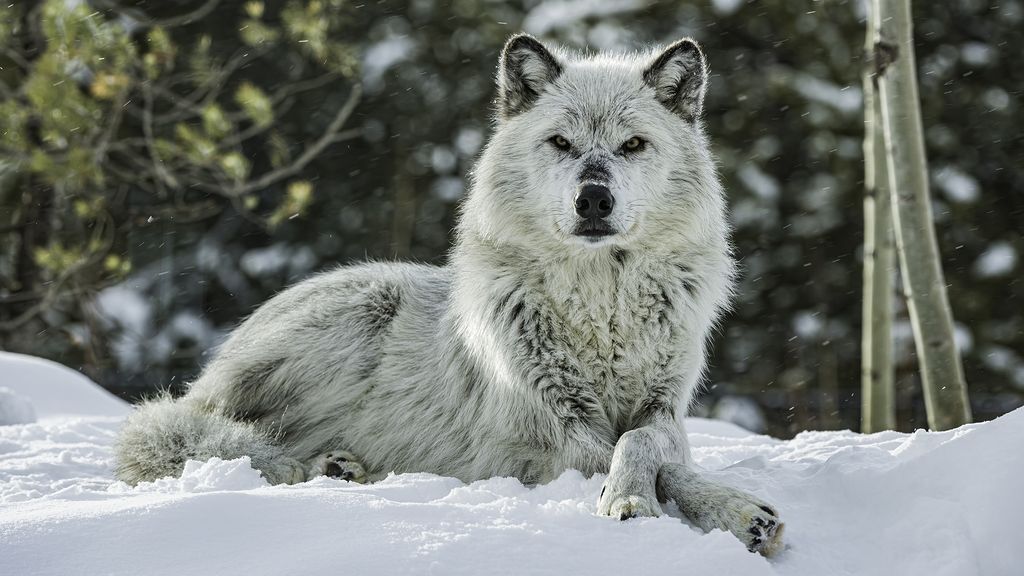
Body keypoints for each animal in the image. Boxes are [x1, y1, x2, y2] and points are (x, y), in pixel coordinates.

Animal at [115, 34, 783, 555]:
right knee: (219, 438)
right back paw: (320, 466)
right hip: (355, 316)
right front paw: (653, 503)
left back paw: (338, 466)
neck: (600, 308)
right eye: (561, 143)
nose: (593, 199)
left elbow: (645, 444)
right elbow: (646, 464)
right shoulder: (545, 438)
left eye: (633, 145)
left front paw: (727, 509)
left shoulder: (665, 410)